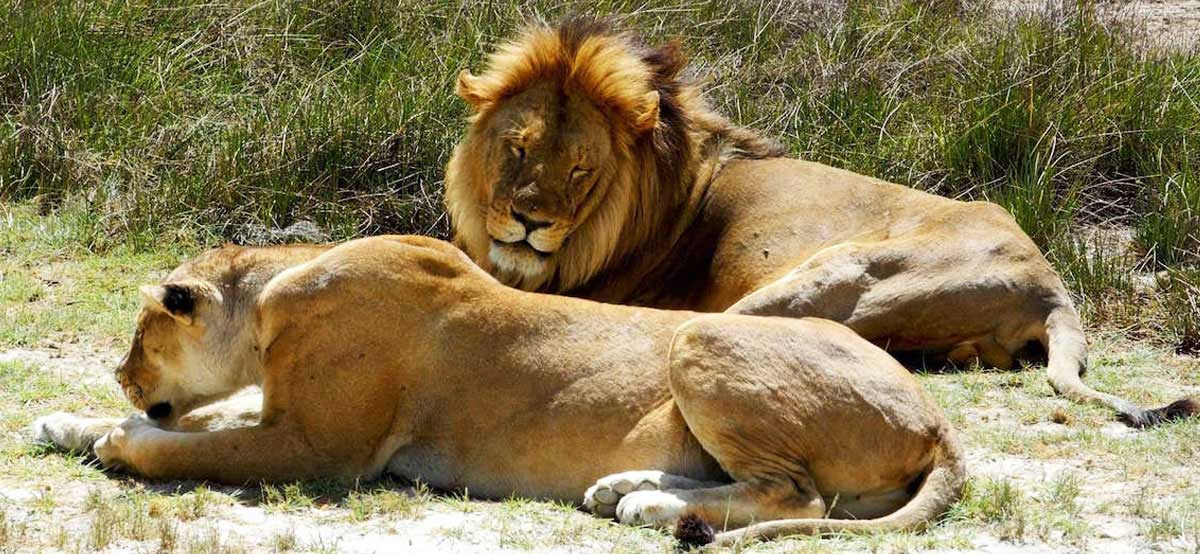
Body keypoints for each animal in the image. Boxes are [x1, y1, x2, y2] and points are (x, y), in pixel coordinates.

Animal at [33, 235, 964, 545]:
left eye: (139, 336)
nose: (120, 373)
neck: (271, 297)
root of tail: (939, 419)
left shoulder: (319, 448)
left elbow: (207, 444)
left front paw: (121, 438)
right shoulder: (278, 409)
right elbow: (213, 419)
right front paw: (66, 420)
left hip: (703, 336)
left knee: (792, 493)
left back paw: (650, 506)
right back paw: (626, 487)